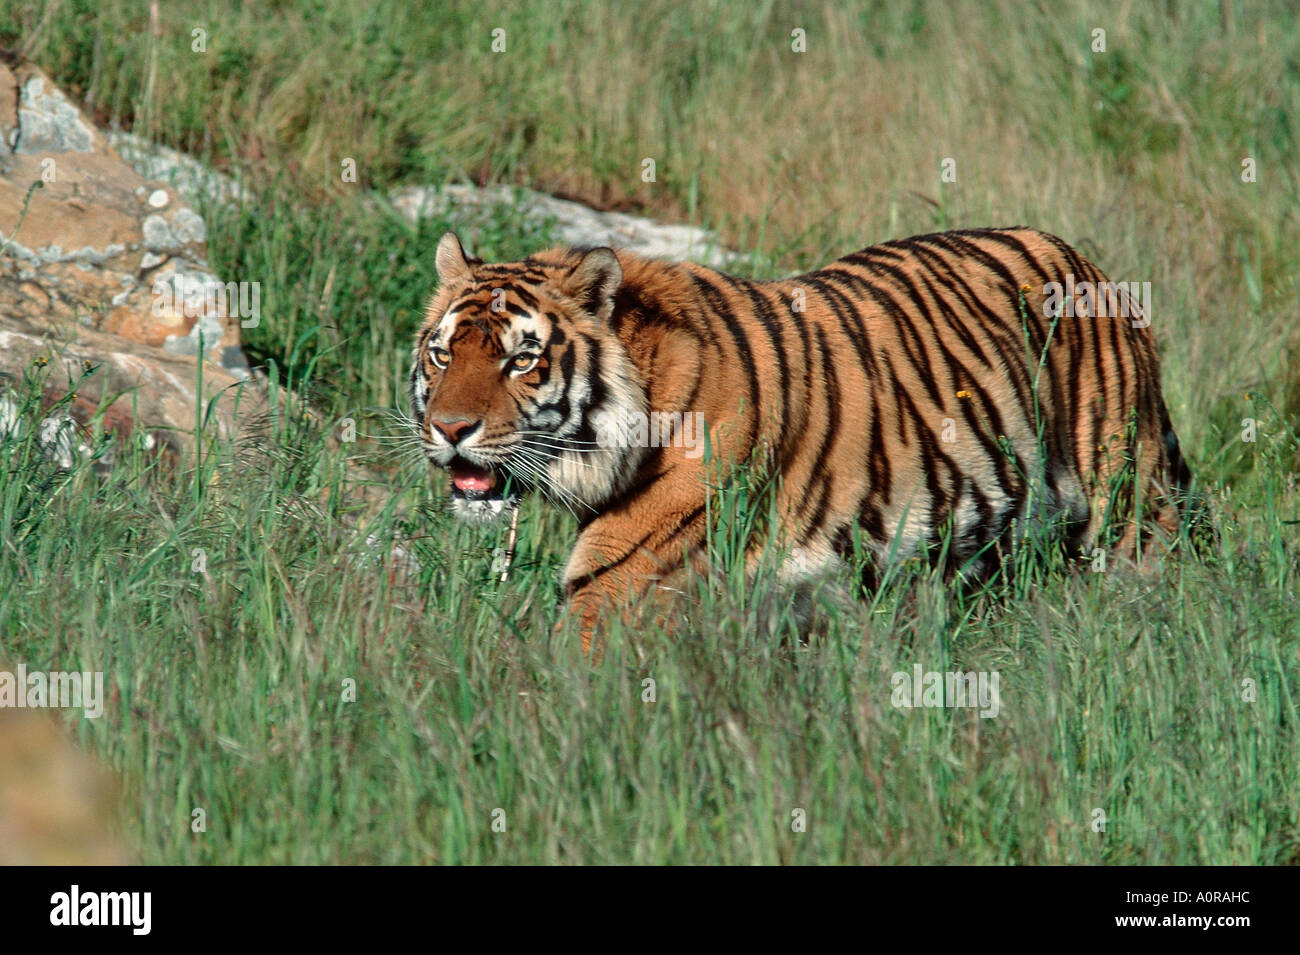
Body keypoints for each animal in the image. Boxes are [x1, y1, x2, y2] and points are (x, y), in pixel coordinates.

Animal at [409, 227, 1193, 651]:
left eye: (520, 360)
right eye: (444, 356)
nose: (450, 429)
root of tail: (1091, 267)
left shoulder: (625, 586)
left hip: (1127, 512)